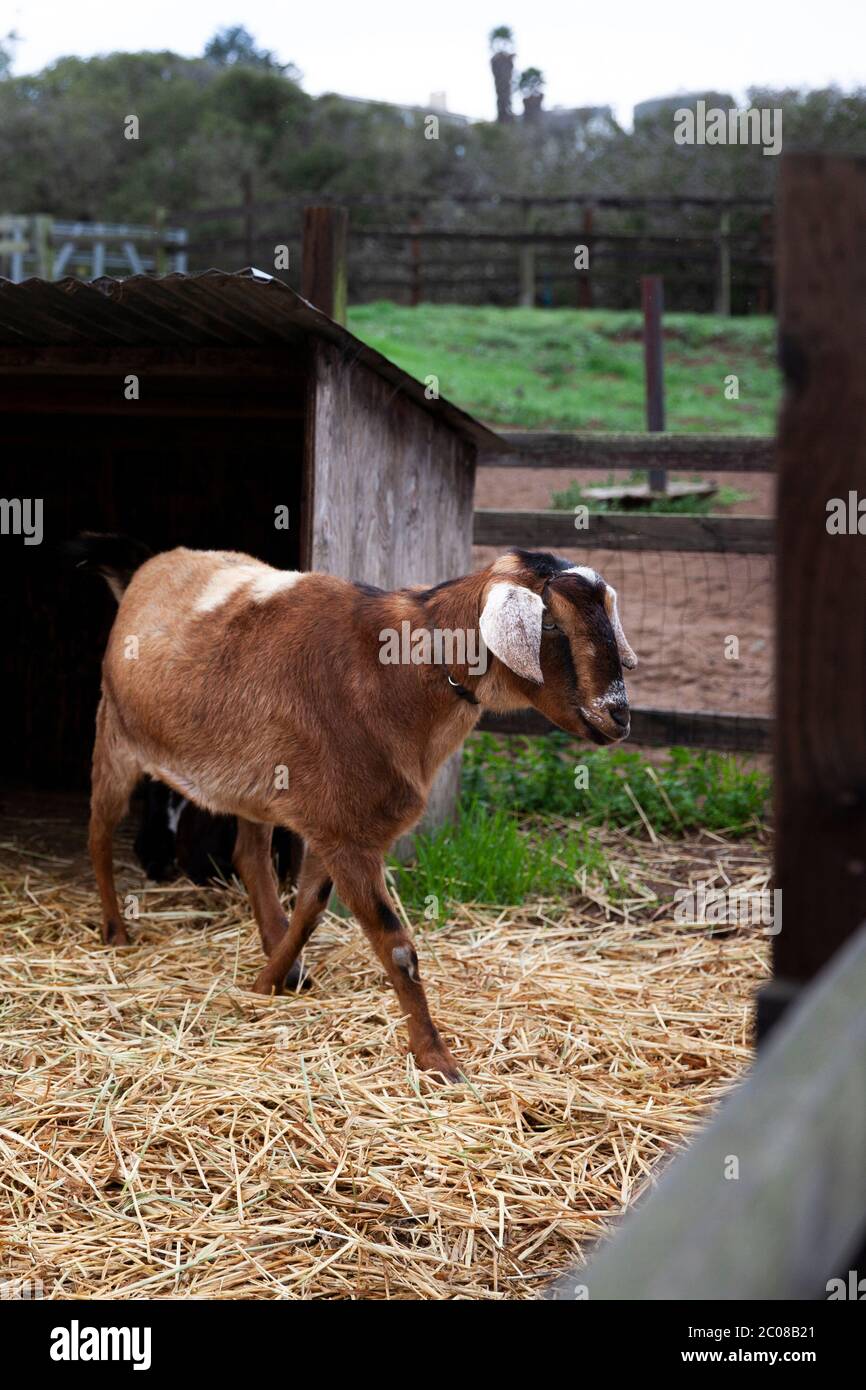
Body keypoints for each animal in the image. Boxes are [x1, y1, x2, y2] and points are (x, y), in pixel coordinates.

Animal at [77, 537, 637, 1081]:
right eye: (550, 623)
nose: (619, 715)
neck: (402, 675)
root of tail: (152, 567)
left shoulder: (336, 825)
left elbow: (309, 910)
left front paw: (267, 982)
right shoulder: (345, 832)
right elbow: (397, 947)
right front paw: (438, 1060)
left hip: (249, 781)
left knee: (249, 856)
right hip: (115, 735)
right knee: (98, 833)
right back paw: (116, 932)